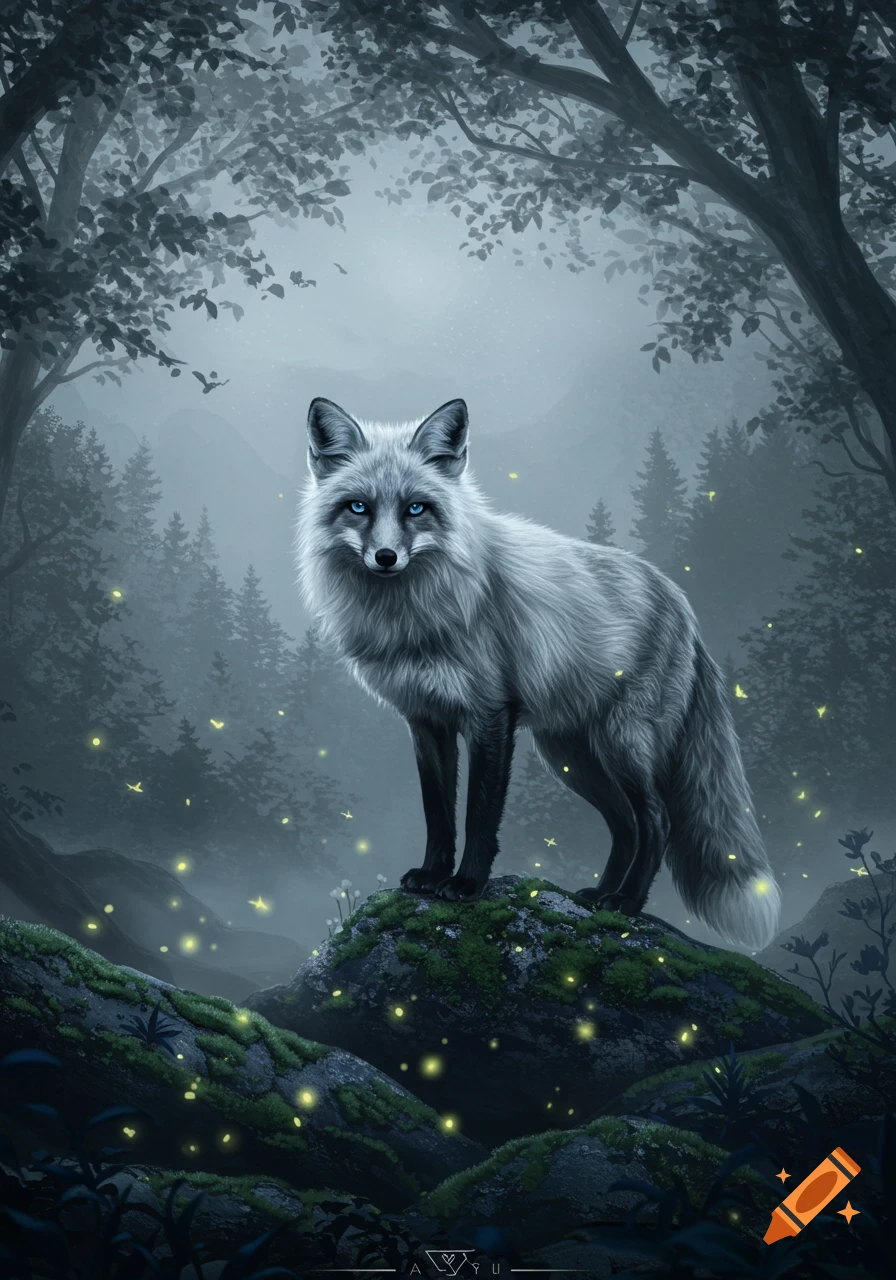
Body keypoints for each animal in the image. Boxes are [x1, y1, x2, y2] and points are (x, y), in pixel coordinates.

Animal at [294, 396, 780, 949]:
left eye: (416, 508)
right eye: (358, 507)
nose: (385, 557)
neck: (414, 619)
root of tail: (681, 602)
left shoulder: (489, 715)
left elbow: (479, 816)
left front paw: (466, 884)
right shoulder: (426, 720)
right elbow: (438, 815)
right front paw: (431, 875)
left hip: (622, 744)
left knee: (658, 821)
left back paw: (628, 903)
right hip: (572, 757)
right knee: (625, 825)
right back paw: (597, 895)